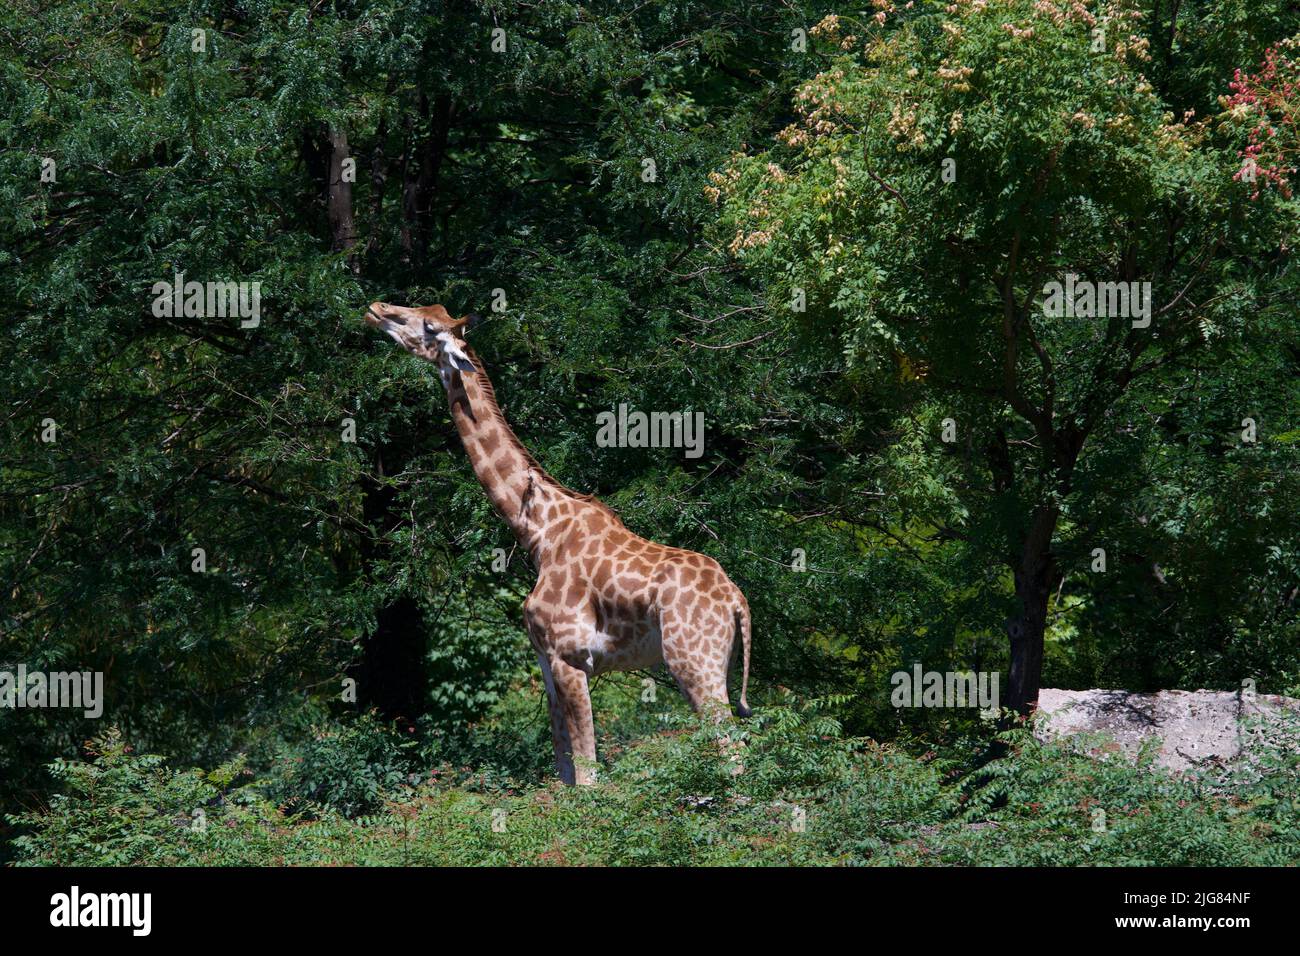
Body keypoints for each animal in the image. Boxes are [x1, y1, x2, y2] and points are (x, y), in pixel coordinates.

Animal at [362, 301, 752, 784]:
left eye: (429, 326)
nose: (377, 309)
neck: (538, 530)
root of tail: (737, 602)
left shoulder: (572, 657)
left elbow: (587, 777)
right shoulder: (546, 661)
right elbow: (564, 768)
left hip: (693, 662)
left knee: (732, 754)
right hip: (719, 664)